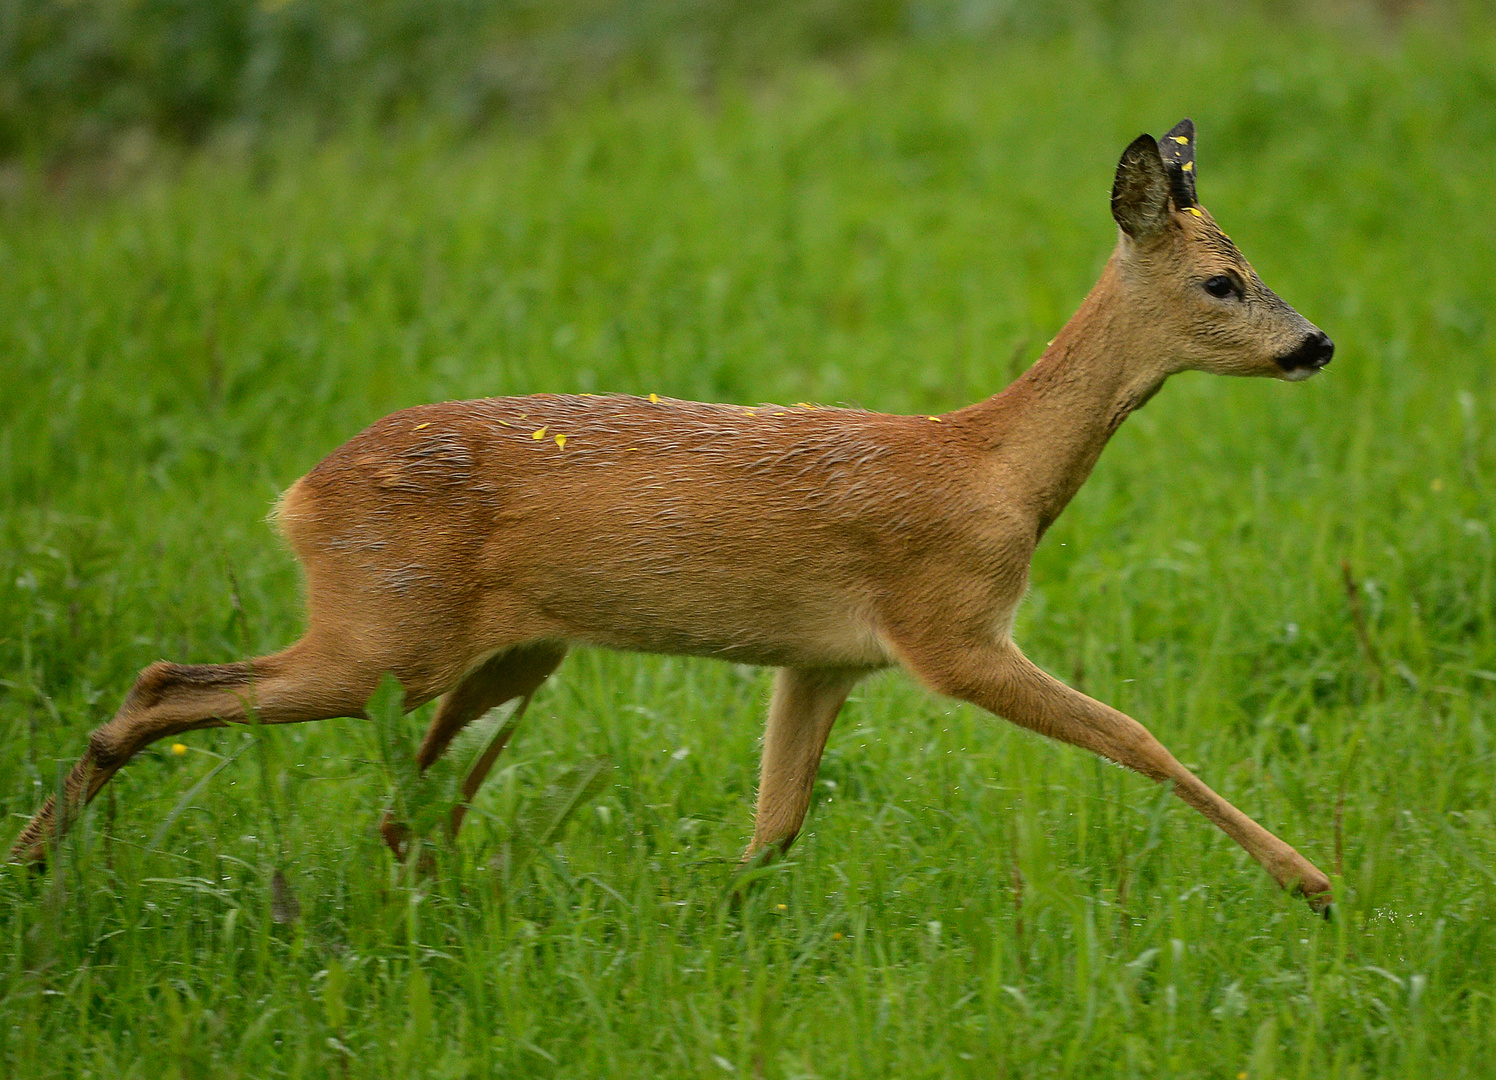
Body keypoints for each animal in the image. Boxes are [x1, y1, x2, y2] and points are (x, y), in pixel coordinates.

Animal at [11, 120, 1336, 912]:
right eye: (1221, 280)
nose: (1316, 342)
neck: (991, 468)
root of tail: (298, 494)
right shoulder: (948, 627)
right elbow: (1134, 736)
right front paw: (1308, 880)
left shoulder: (822, 659)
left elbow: (777, 821)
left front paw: (718, 916)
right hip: (384, 631)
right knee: (170, 685)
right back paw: (34, 862)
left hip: (506, 652)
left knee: (401, 796)